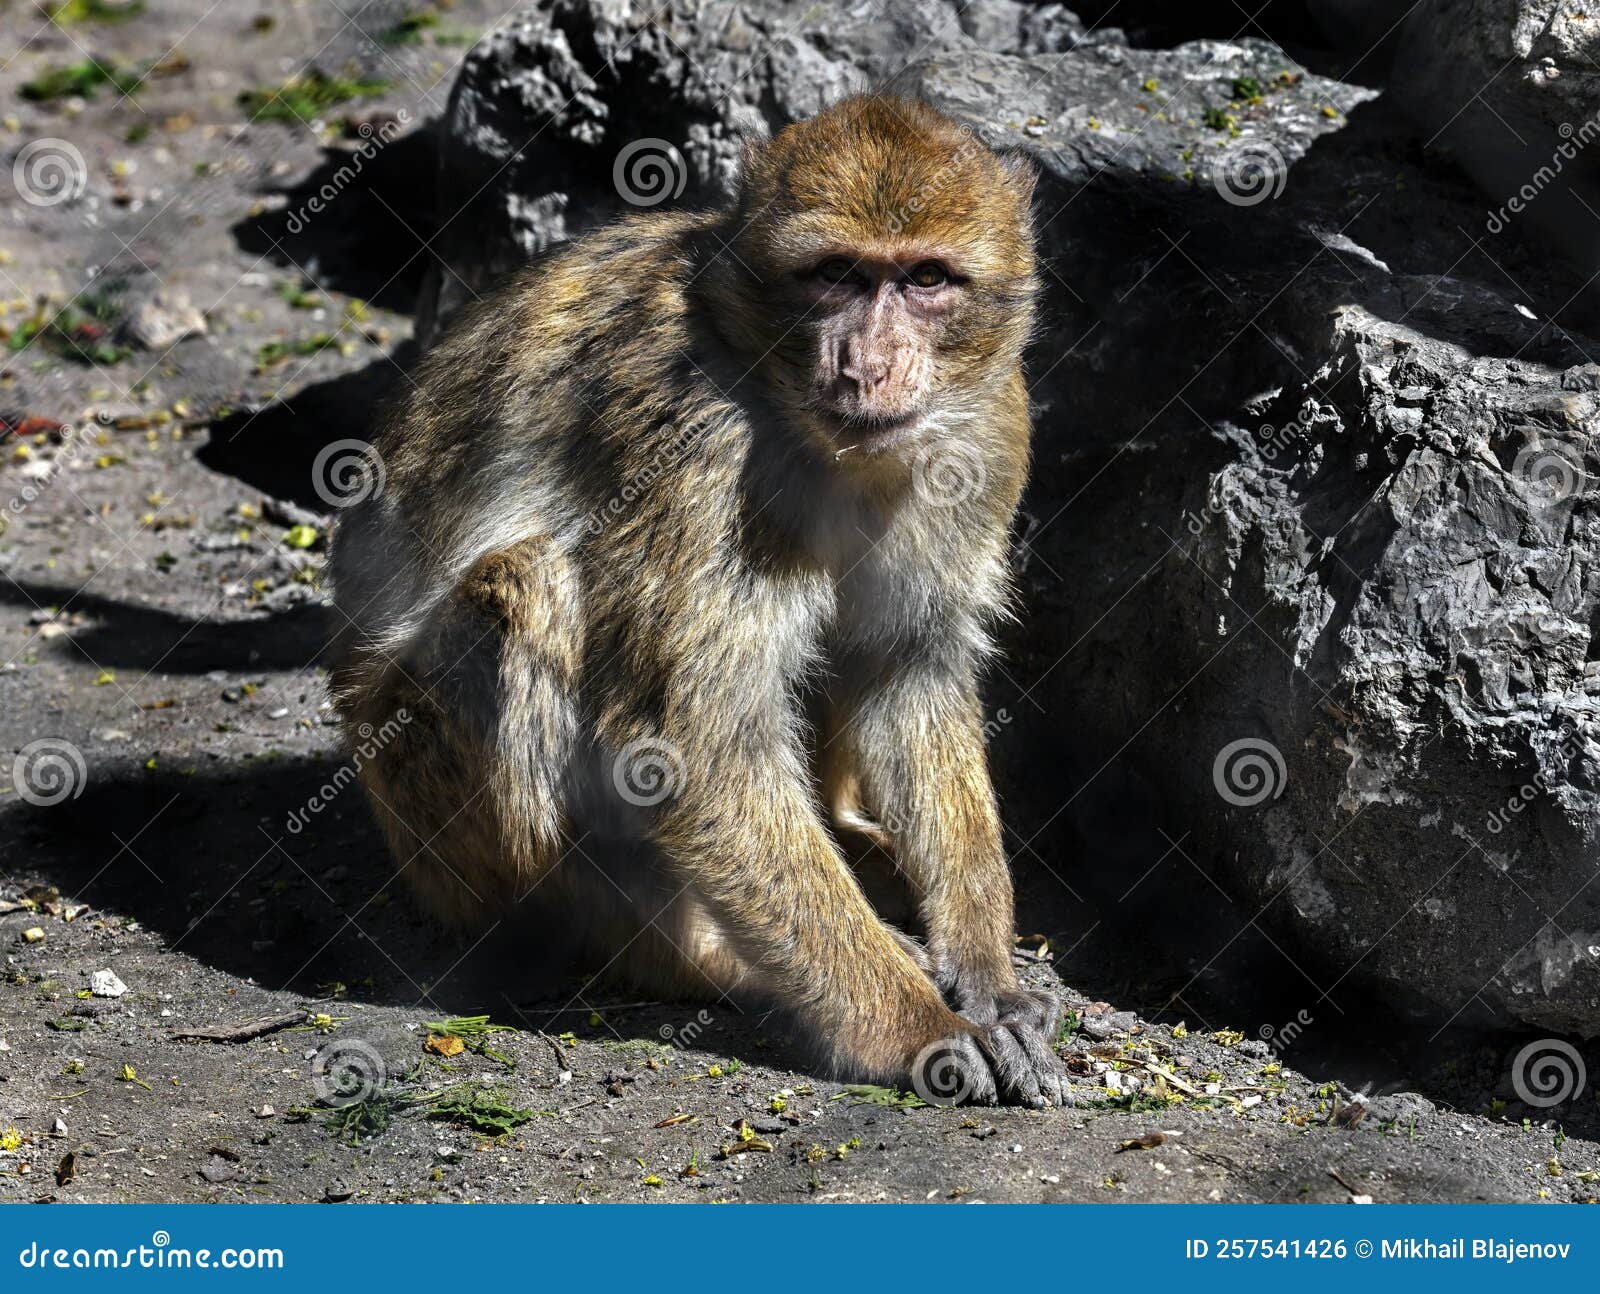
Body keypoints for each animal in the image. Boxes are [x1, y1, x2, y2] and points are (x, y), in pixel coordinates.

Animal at [329, 94, 1067, 1106]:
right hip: (427, 827)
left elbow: (907, 667)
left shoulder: (991, 427)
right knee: (529, 586)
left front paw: (987, 976)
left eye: (925, 279)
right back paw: (669, 954)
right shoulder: (695, 437)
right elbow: (686, 743)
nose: (868, 364)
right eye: (836, 275)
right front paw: (920, 1027)